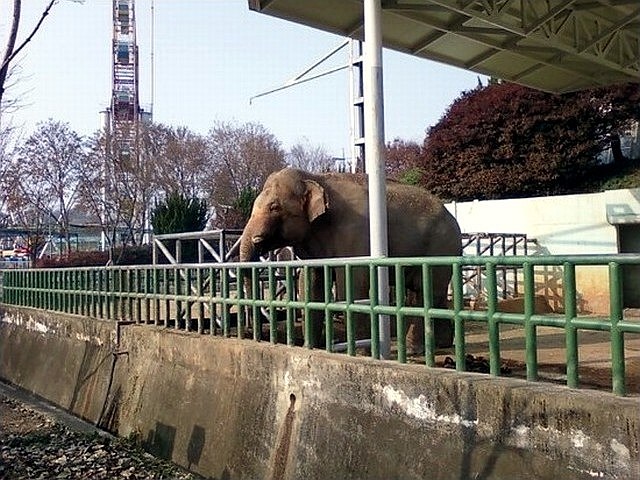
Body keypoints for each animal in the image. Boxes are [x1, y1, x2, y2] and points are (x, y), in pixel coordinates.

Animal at [239, 167, 462, 352]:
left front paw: (362, 354)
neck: (315, 177)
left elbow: (352, 283)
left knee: (425, 292)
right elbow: (310, 282)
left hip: (441, 245)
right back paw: (442, 345)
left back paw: (414, 349)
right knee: (428, 293)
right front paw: (310, 348)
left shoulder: (355, 231)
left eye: (274, 207)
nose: (251, 334)